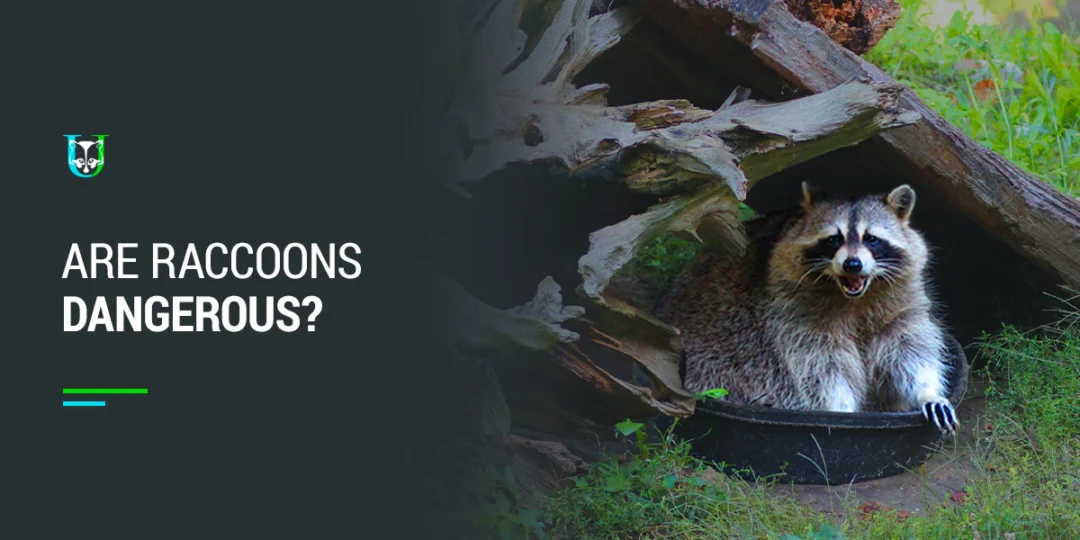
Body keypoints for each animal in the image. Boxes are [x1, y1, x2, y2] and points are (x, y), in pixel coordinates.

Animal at [655, 183, 958, 434]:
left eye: (871, 238)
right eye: (834, 239)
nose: (852, 265)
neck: (855, 298)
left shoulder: (901, 305)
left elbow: (910, 351)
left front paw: (927, 390)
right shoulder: (796, 315)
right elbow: (820, 369)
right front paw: (841, 410)